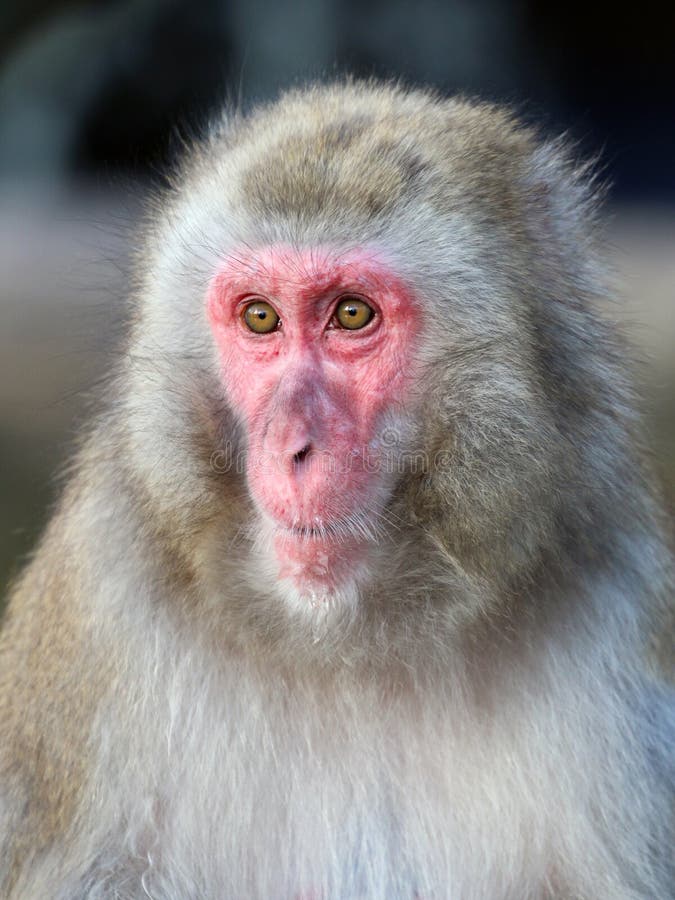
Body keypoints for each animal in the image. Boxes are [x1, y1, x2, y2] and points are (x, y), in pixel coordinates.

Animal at [0, 81, 672, 900]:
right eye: (260, 317)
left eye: (352, 313)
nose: (293, 447)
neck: (349, 644)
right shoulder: (101, 598)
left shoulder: (613, 596)